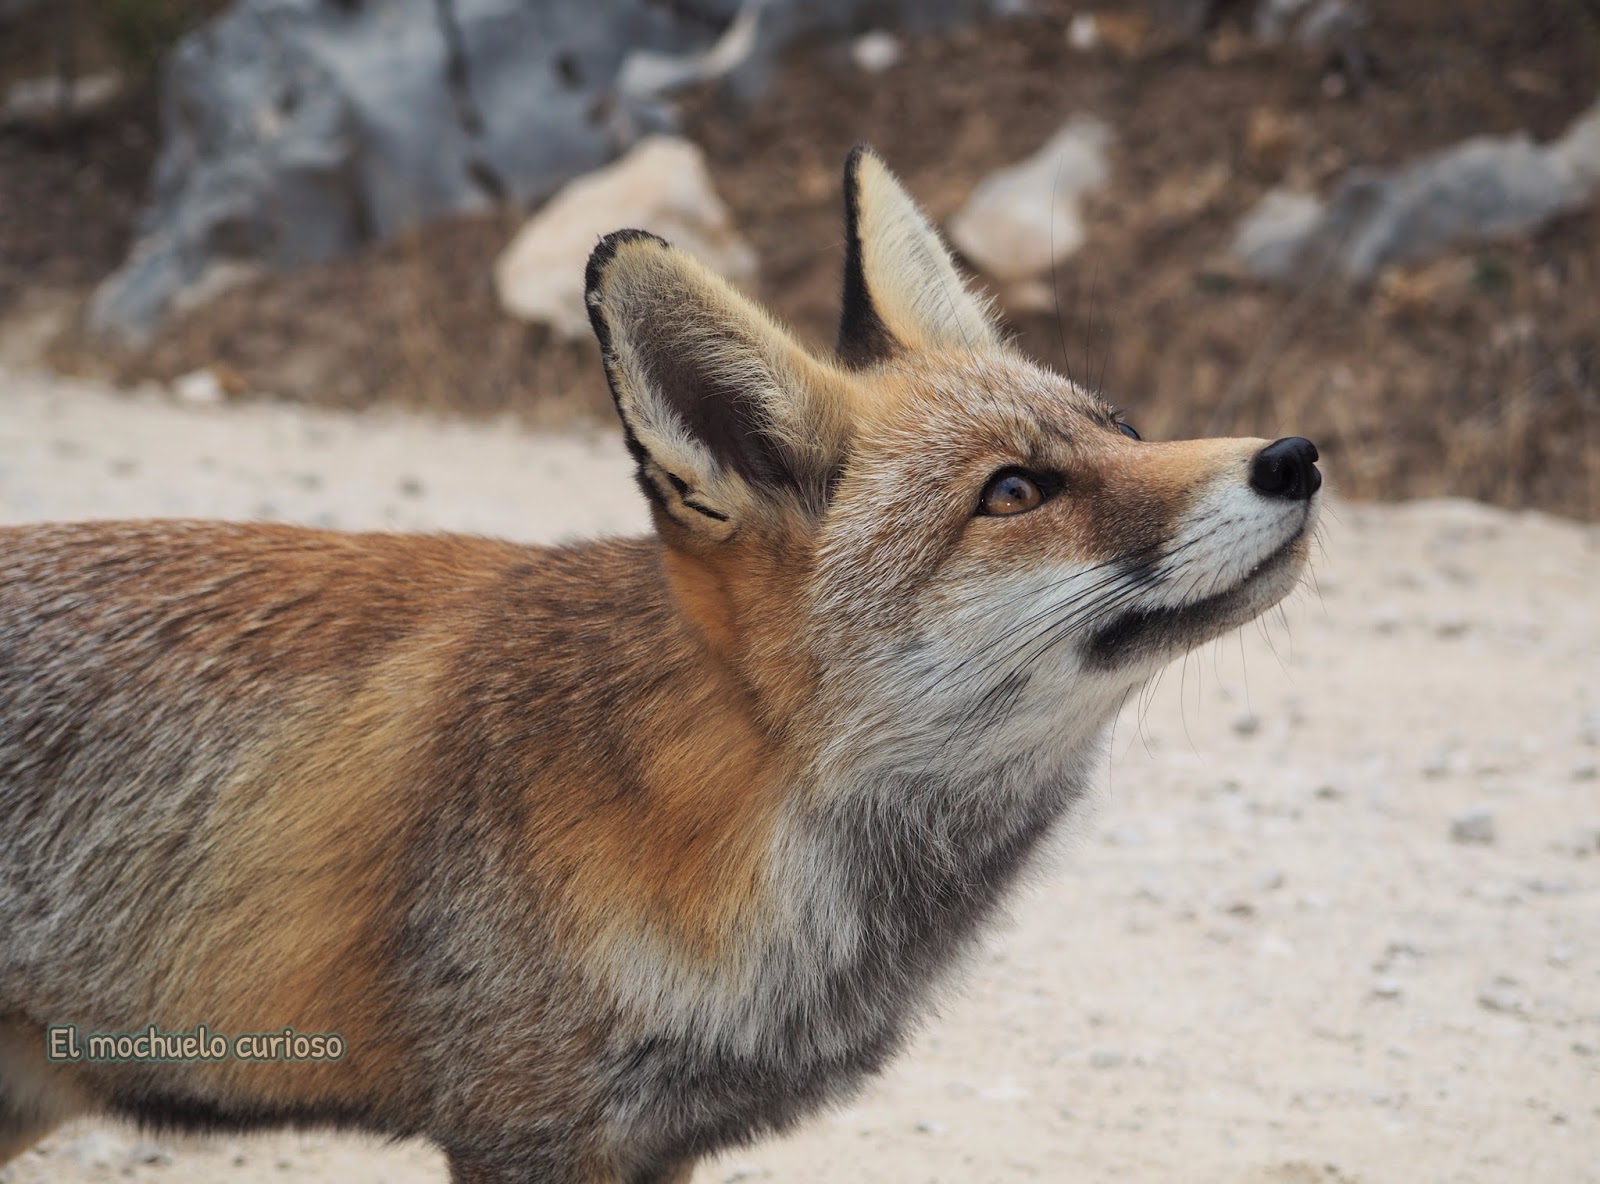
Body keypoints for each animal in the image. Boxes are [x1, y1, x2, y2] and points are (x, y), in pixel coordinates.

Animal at [0, 146, 1320, 1183]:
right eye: (1013, 492)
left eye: (1122, 429)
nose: (1296, 456)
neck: (732, 814)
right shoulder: (523, 1132)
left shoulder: (658, 1140)